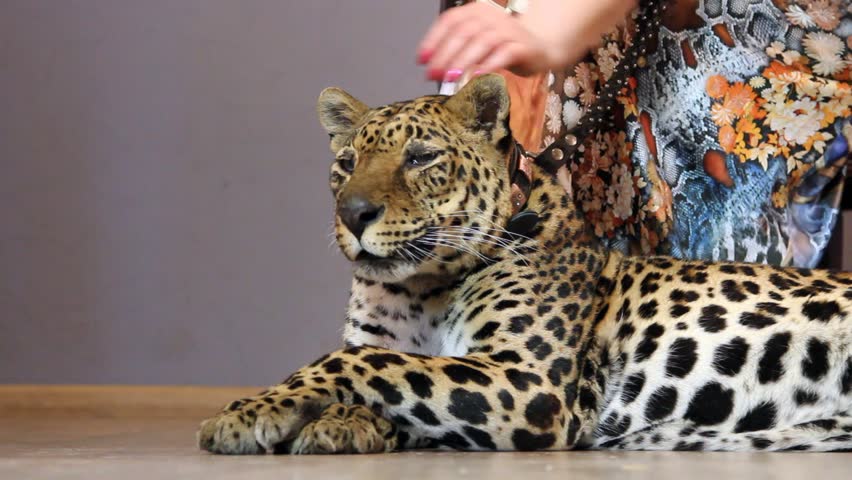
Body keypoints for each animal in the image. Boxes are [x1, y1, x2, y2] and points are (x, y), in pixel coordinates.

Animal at [198, 74, 852, 454]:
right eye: (347, 163)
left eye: (420, 157)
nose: (353, 212)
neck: (421, 289)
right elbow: (389, 371)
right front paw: (339, 423)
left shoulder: (530, 384)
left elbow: (366, 361)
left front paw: (253, 413)